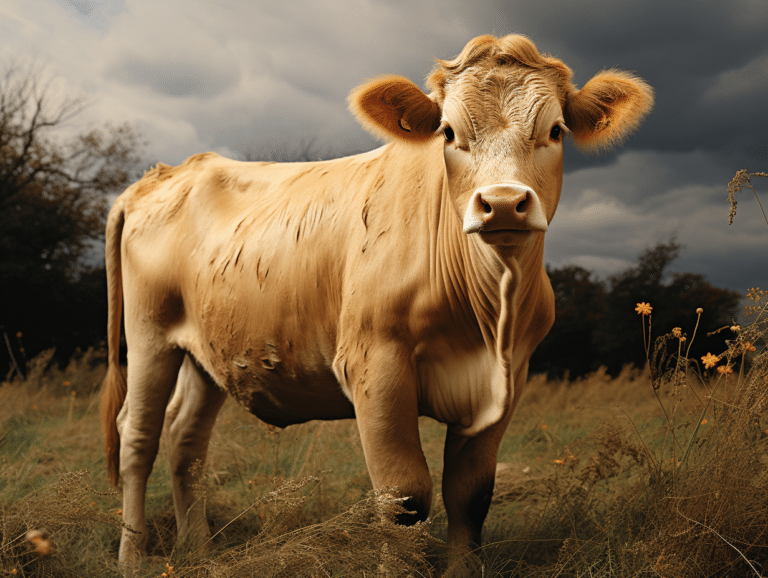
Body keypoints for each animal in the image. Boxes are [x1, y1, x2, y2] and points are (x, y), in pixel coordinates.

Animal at [101, 34, 653, 575]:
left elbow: (471, 495)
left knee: (186, 440)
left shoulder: (510, 378)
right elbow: (404, 499)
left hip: (209, 352)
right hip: (149, 336)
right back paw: (133, 554)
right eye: (448, 132)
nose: (501, 204)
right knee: (138, 436)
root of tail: (165, 173)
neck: (487, 316)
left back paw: (197, 550)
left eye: (556, 130)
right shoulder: (376, 365)